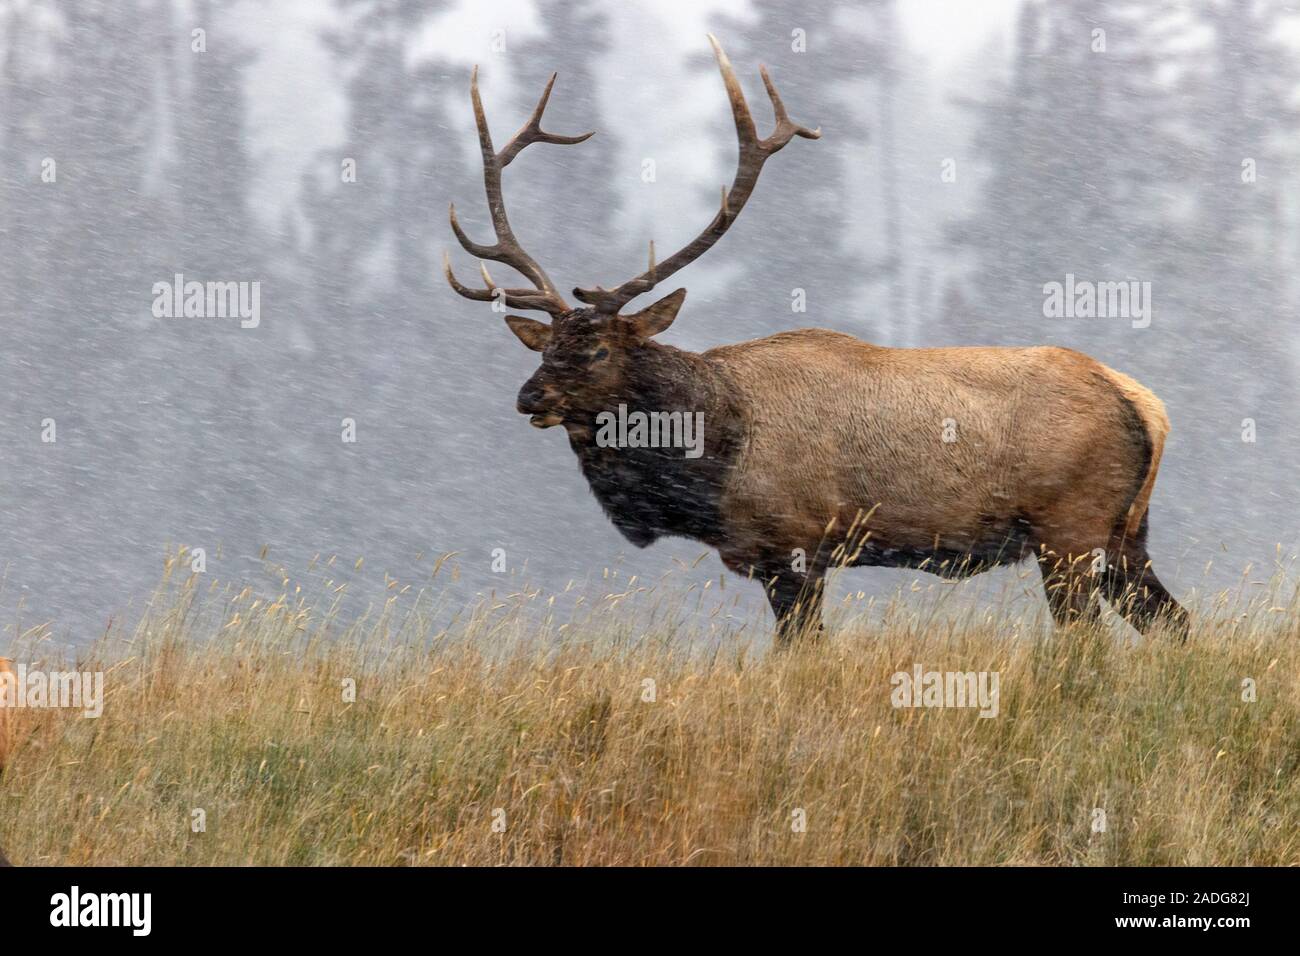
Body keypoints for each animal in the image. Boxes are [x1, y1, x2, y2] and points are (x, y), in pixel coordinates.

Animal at [443, 36, 1190, 645]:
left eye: (599, 350)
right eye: (542, 348)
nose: (529, 396)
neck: (713, 457)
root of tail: (1146, 406)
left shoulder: (794, 548)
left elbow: (800, 653)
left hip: (1071, 530)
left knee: (1089, 643)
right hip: (1125, 536)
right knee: (1176, 625)